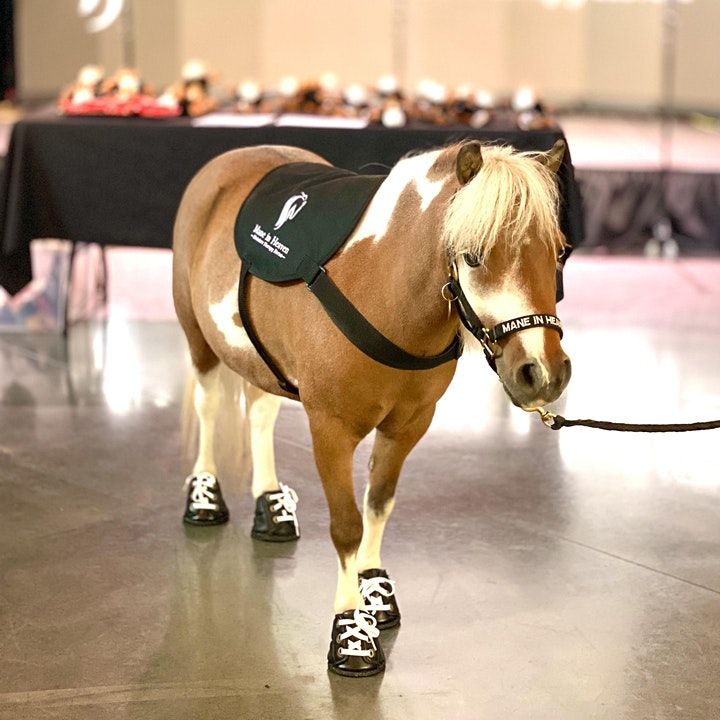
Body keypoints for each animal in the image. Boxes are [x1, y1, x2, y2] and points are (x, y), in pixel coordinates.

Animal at [172, 138, 571, 677]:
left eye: (560, 252)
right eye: (472, 256)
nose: (541, 372)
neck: (384, 289)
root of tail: (235, 157)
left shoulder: (408, 426)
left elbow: (378, 504)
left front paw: (373, 589)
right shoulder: (331, 429)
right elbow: (346, 526)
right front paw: (350, 631)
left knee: (259, 411)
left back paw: (271, 505)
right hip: (199, 340)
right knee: (209, 406)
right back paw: (205, 497)